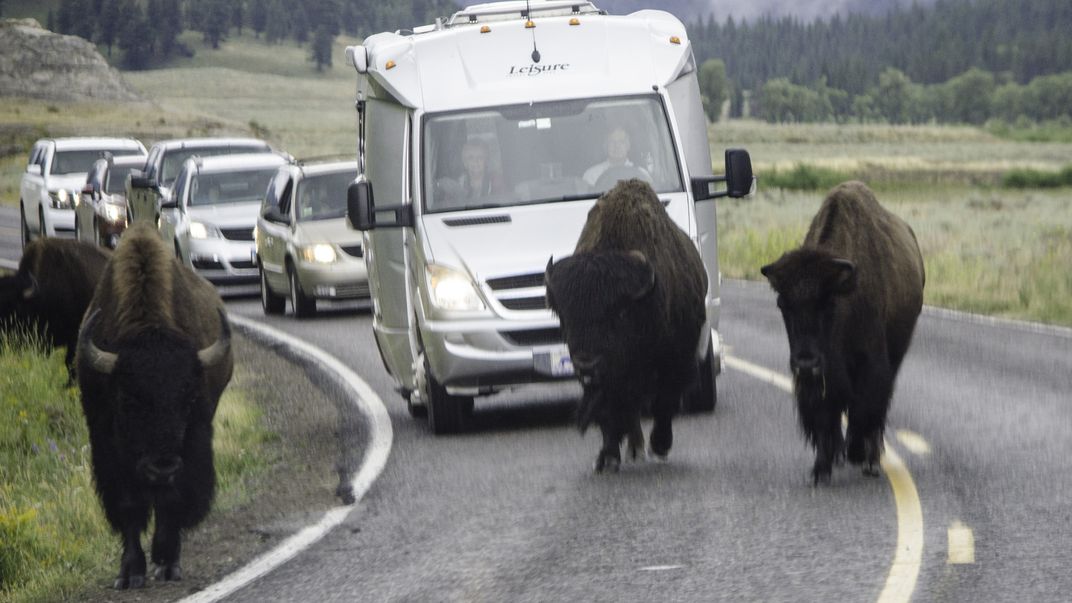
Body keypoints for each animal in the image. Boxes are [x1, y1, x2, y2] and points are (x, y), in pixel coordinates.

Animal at [76, 223, 233, 589]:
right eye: (128, 400)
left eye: (188, 398)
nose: (162, 467)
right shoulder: (106, 441)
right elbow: (128, 505)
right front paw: (130, 572)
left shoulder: (193, 442)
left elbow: (173, 500)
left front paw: (167, 559)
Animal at [545, 179, 707, 472]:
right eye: (565, 317)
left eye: (619, 314)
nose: (587, 363)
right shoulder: (604, 381)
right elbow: (610, 411)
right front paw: (607, 457)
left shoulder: (676, 361)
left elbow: (664, 403)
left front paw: (660, 446)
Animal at [761, 181, 925, 484]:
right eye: (783, 304)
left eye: (829, 303)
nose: (806, 363)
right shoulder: (821, 380)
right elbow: (825, 415)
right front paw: (821, 469)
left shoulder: (871, 364)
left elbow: (866, 407)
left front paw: (860, 455)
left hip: (896, 354)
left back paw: (869, 457)